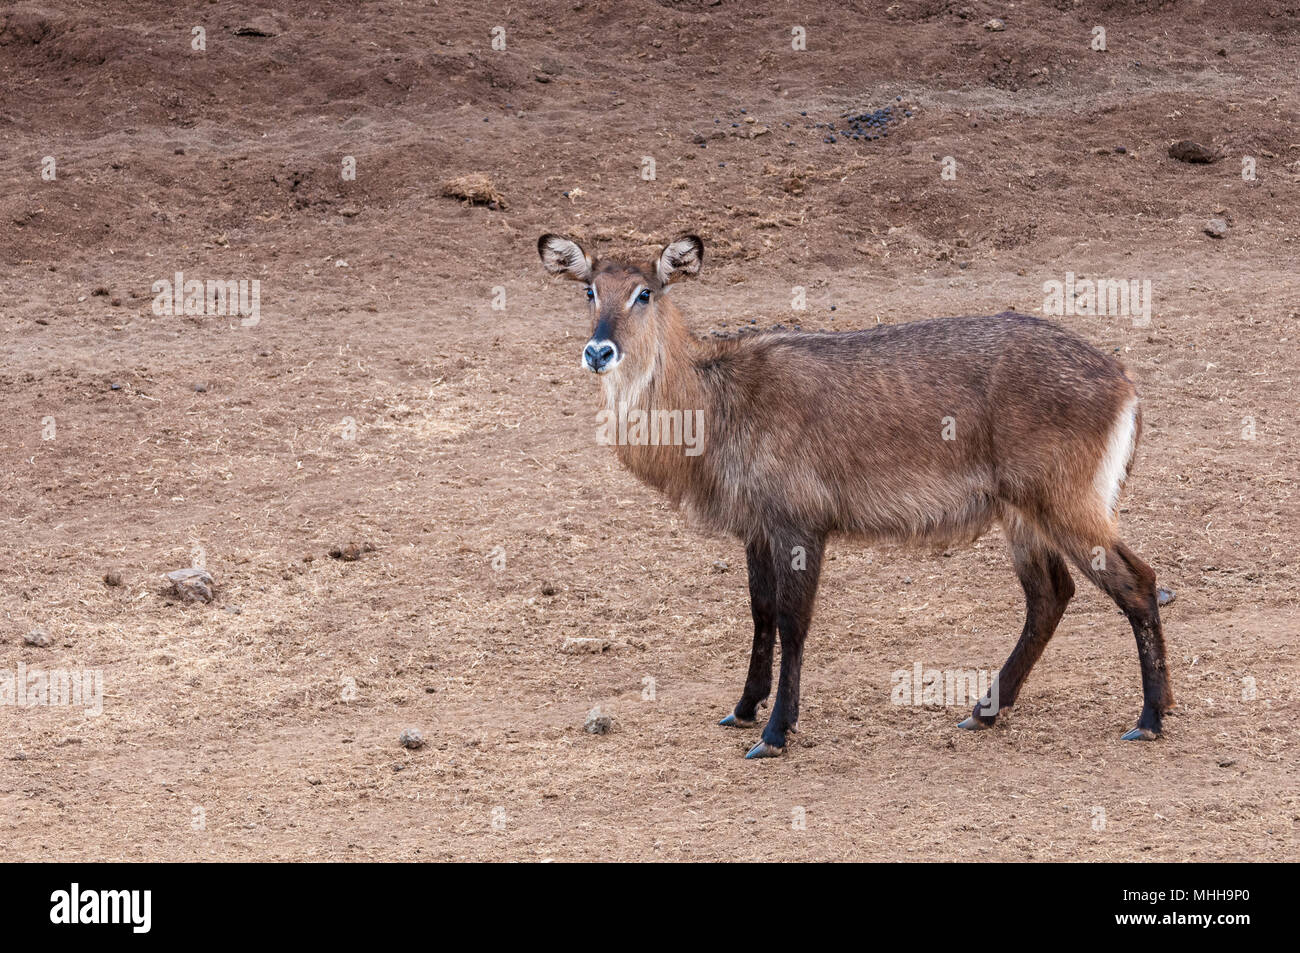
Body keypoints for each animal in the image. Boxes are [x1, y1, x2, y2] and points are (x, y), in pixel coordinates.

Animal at [538, 232, 1173, 759]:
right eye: (590, 290)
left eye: (644, 292)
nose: (599, 352)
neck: (717, 400)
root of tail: (1124, 382)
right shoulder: (757, 529)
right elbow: (760, 613)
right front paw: (742, 710)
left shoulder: (800, 525)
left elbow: (792, 620)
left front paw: (776, 733)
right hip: (1021, 514)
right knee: (1050, 596)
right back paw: (985, 711)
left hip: (1065, 503)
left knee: (1137, 581)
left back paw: (1149, 718)